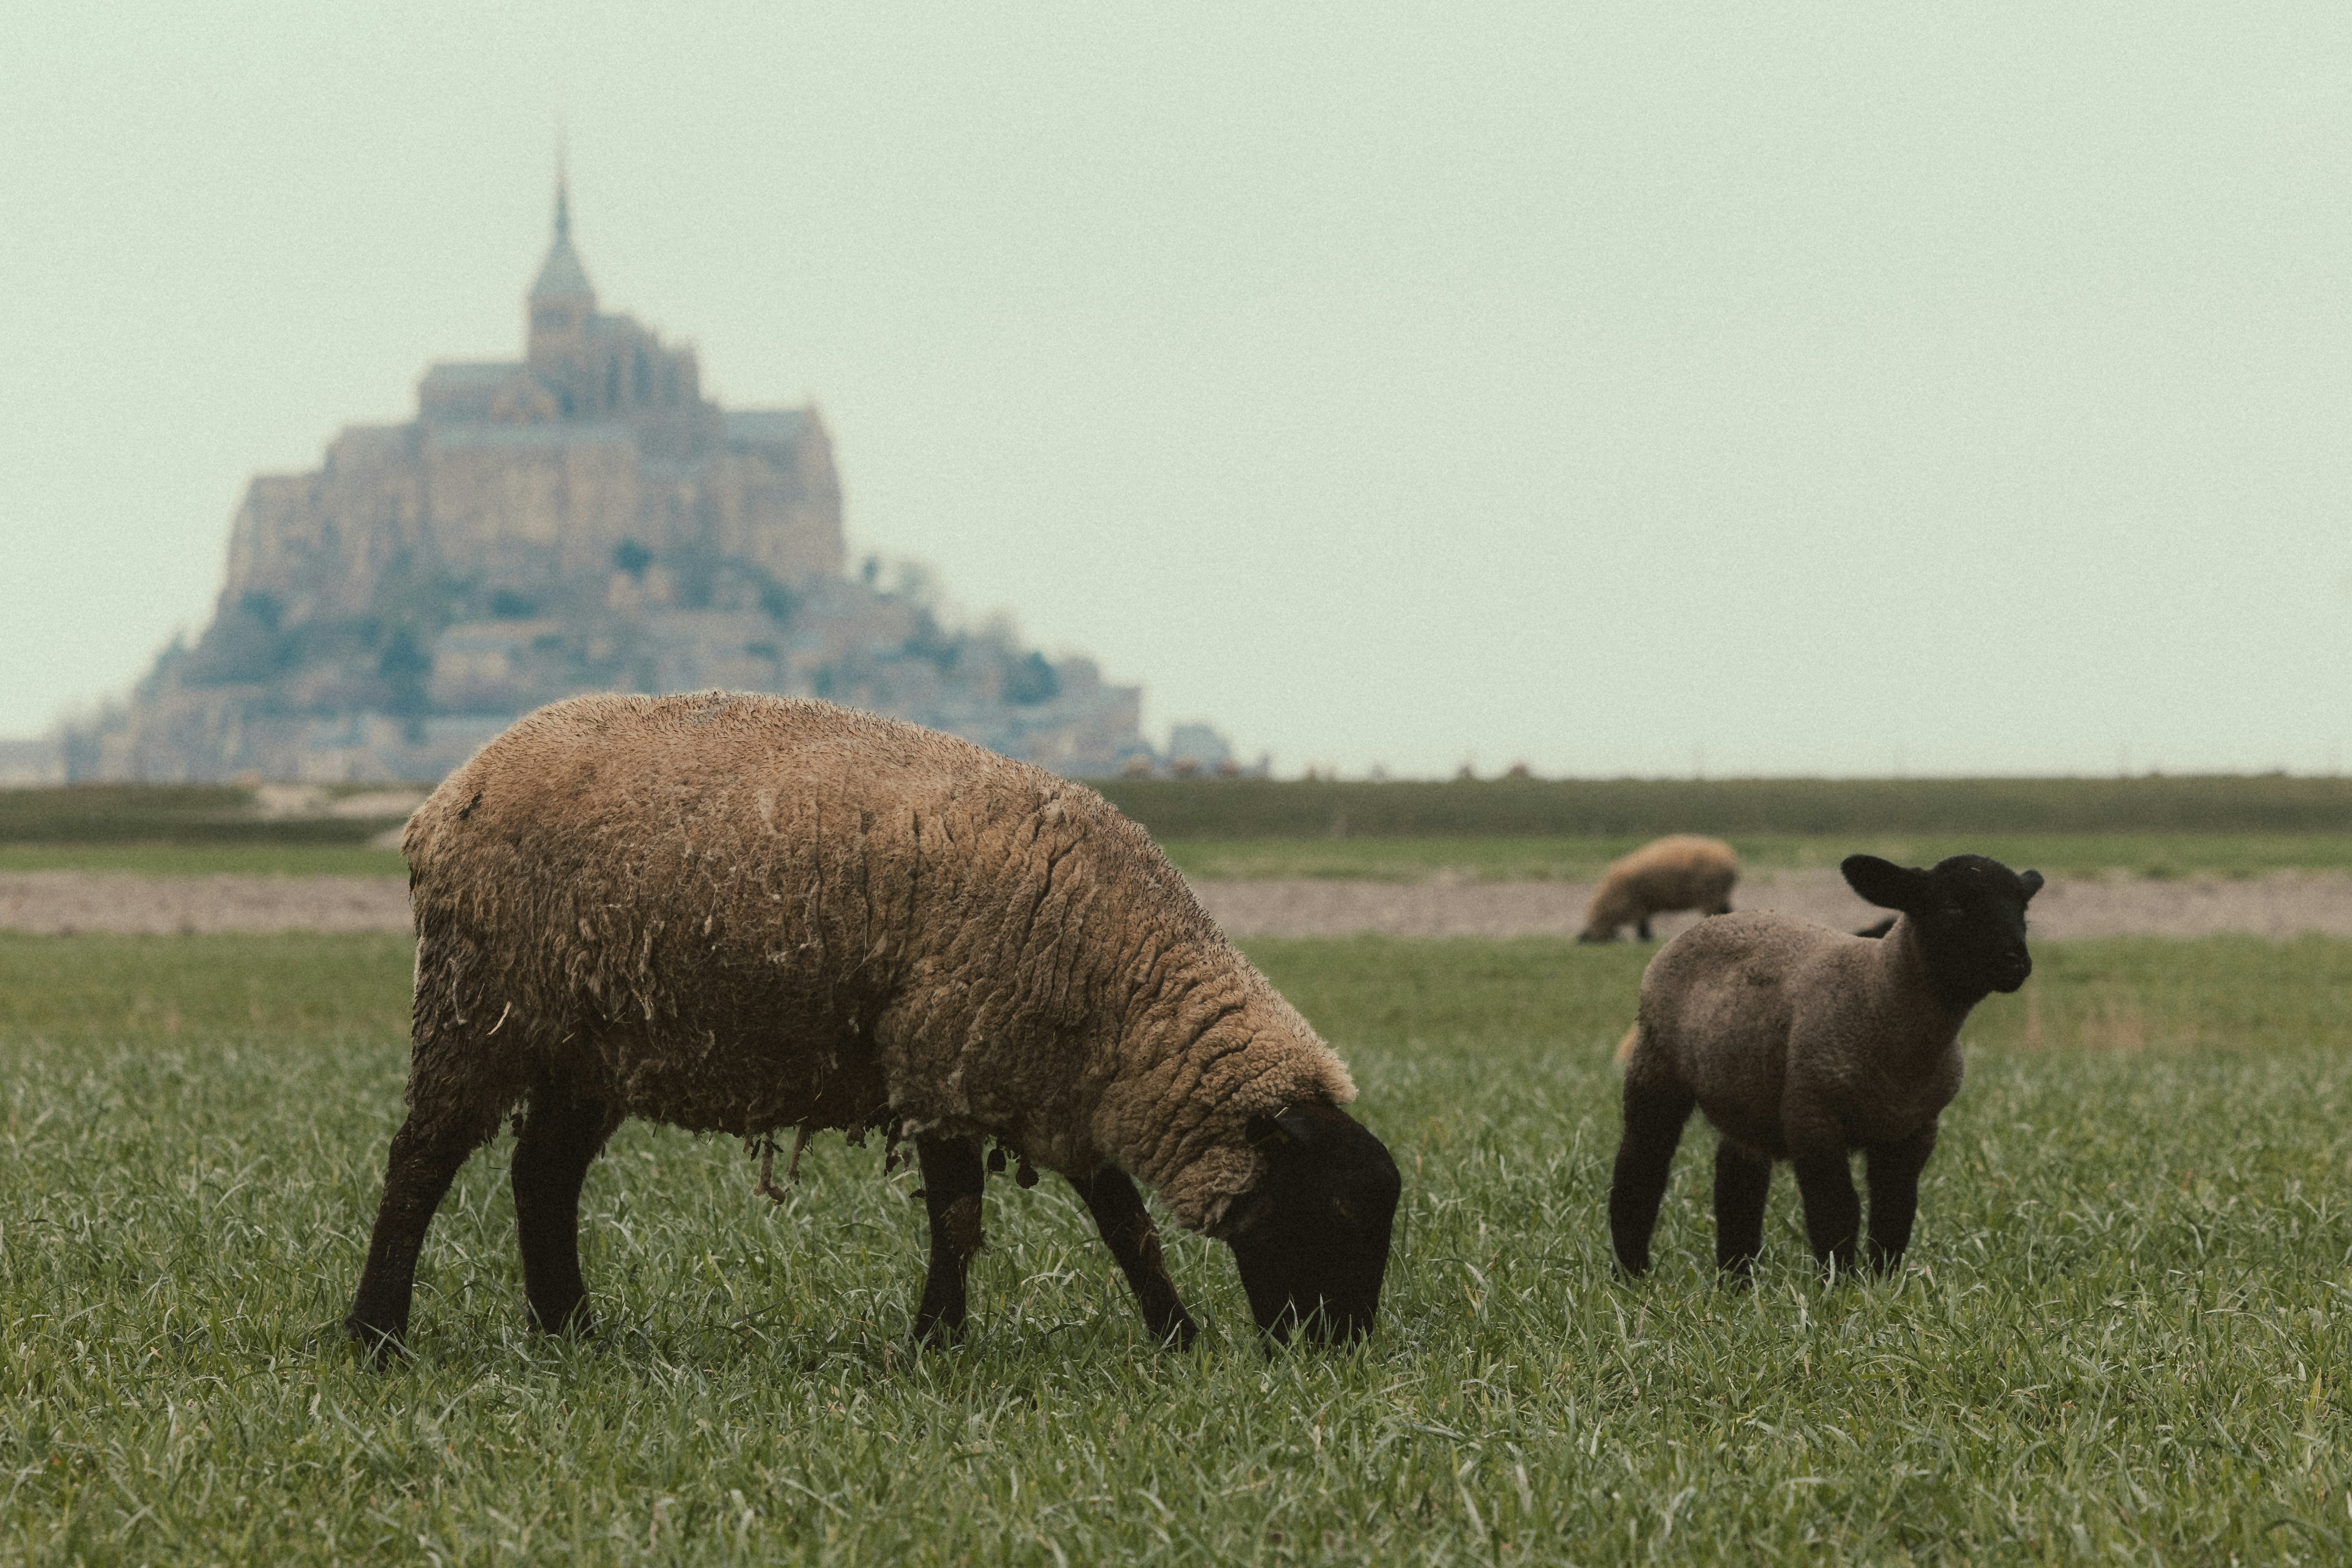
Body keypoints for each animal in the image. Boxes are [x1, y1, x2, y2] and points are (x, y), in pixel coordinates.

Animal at [345, 691, 1401, 1361]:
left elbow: (1123, 1222)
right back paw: (376, 1334)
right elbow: (960, 1217)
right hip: (480, 1009)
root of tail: (445, 797)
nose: (1339, 1352)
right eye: (1341, 1209)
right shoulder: (946, 1062)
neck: (1126, 989)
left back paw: (571, 1329)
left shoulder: (1049, 1084)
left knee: (543, 1177)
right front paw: (936, 1343)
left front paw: (1175, 1335)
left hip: (589, 1045)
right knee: (421, 1162)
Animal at [1577, 834, 1739, 943]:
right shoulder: (1642, 906)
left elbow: (1642, 927)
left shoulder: (1637, 906)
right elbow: (1644, 924)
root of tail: (1729, 858)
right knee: (1728, 911)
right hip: (1721, 894)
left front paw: (1646, 939)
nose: (1584, 937)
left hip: (1710, 895)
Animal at [1608, 853, 2041, 1279]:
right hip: (1655, 1065)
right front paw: (1840, 1281)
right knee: (1641, 1167)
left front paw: (1885, 1280)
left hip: (1746, 1094)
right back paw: (1633, 1272)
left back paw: (1737, 1276)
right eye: (1952, 906)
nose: (2017, 961)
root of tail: (1711, 921)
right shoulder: (1813, 1114)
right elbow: (1836, 1210)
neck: (1878, 994)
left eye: (2023, 908)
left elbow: (1895, 1211)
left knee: (1738, 1183)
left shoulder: (1915, 1127)